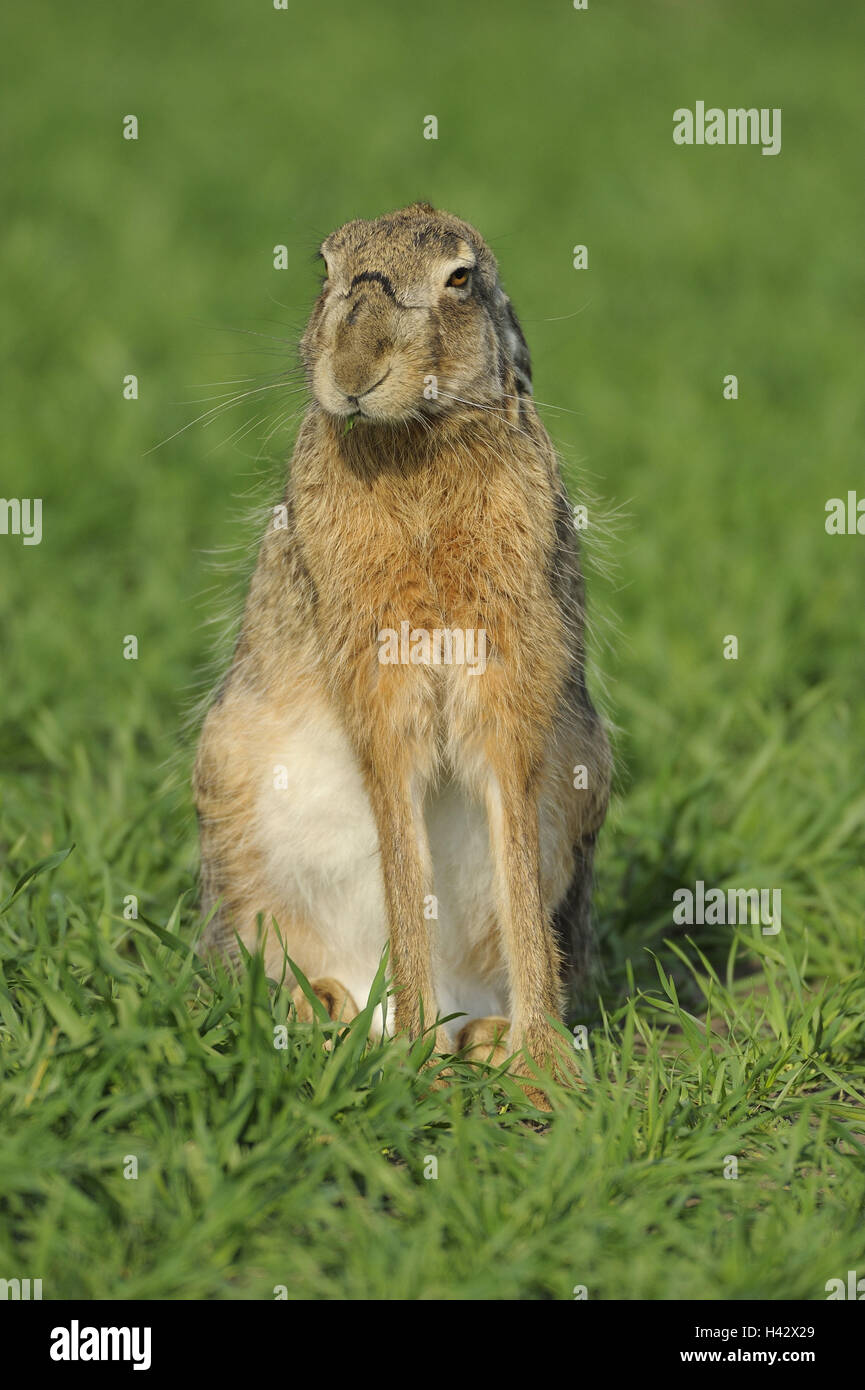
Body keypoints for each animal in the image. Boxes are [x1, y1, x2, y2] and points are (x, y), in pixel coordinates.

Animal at [193, 201, 611, 1100]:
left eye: (459, 280)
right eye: (323, 269)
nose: (352, 371)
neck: (414, 438)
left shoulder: (507, 681)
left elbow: (510, 845)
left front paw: (544, 1071)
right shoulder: (379, 684)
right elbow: (399, 842)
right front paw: (420, 1070)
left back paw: (476, 1038)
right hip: (232, 791)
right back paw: (334, 1014)